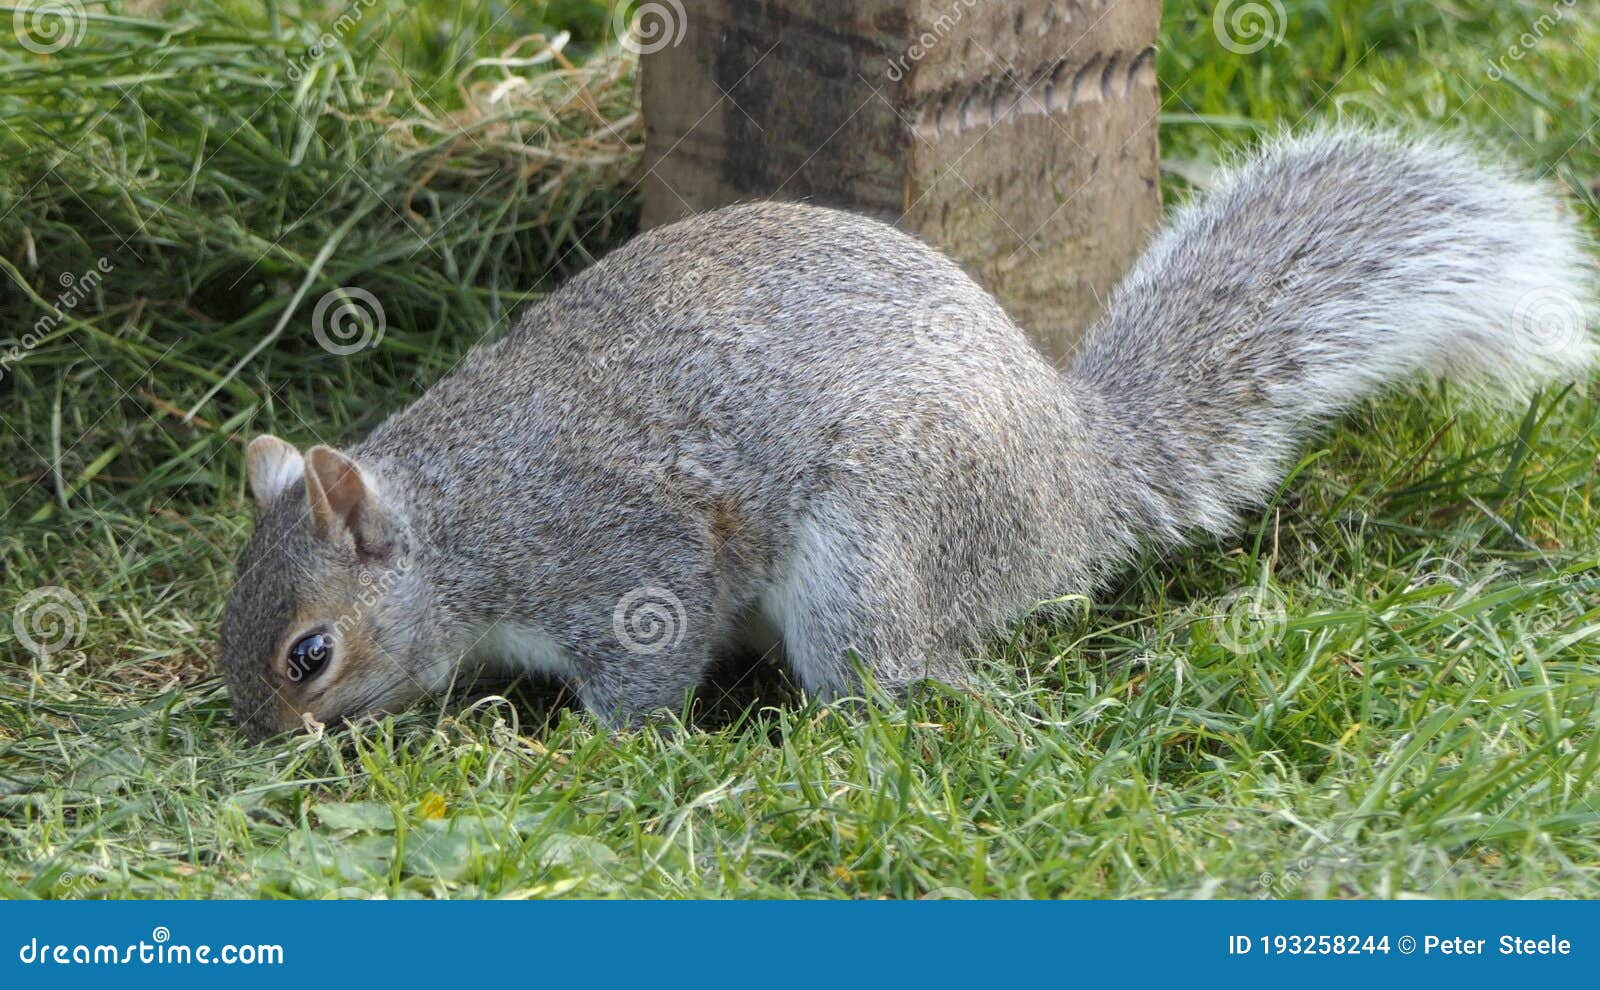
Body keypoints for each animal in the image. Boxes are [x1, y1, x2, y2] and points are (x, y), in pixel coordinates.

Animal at [221, 129, 1598, 741]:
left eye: (309, 654)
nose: (267, 744)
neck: (457, 525)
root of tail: (1072, 480)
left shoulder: (617, 557)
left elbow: (644, 664)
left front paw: (592, 755)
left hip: (877, 547)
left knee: (897, 679)